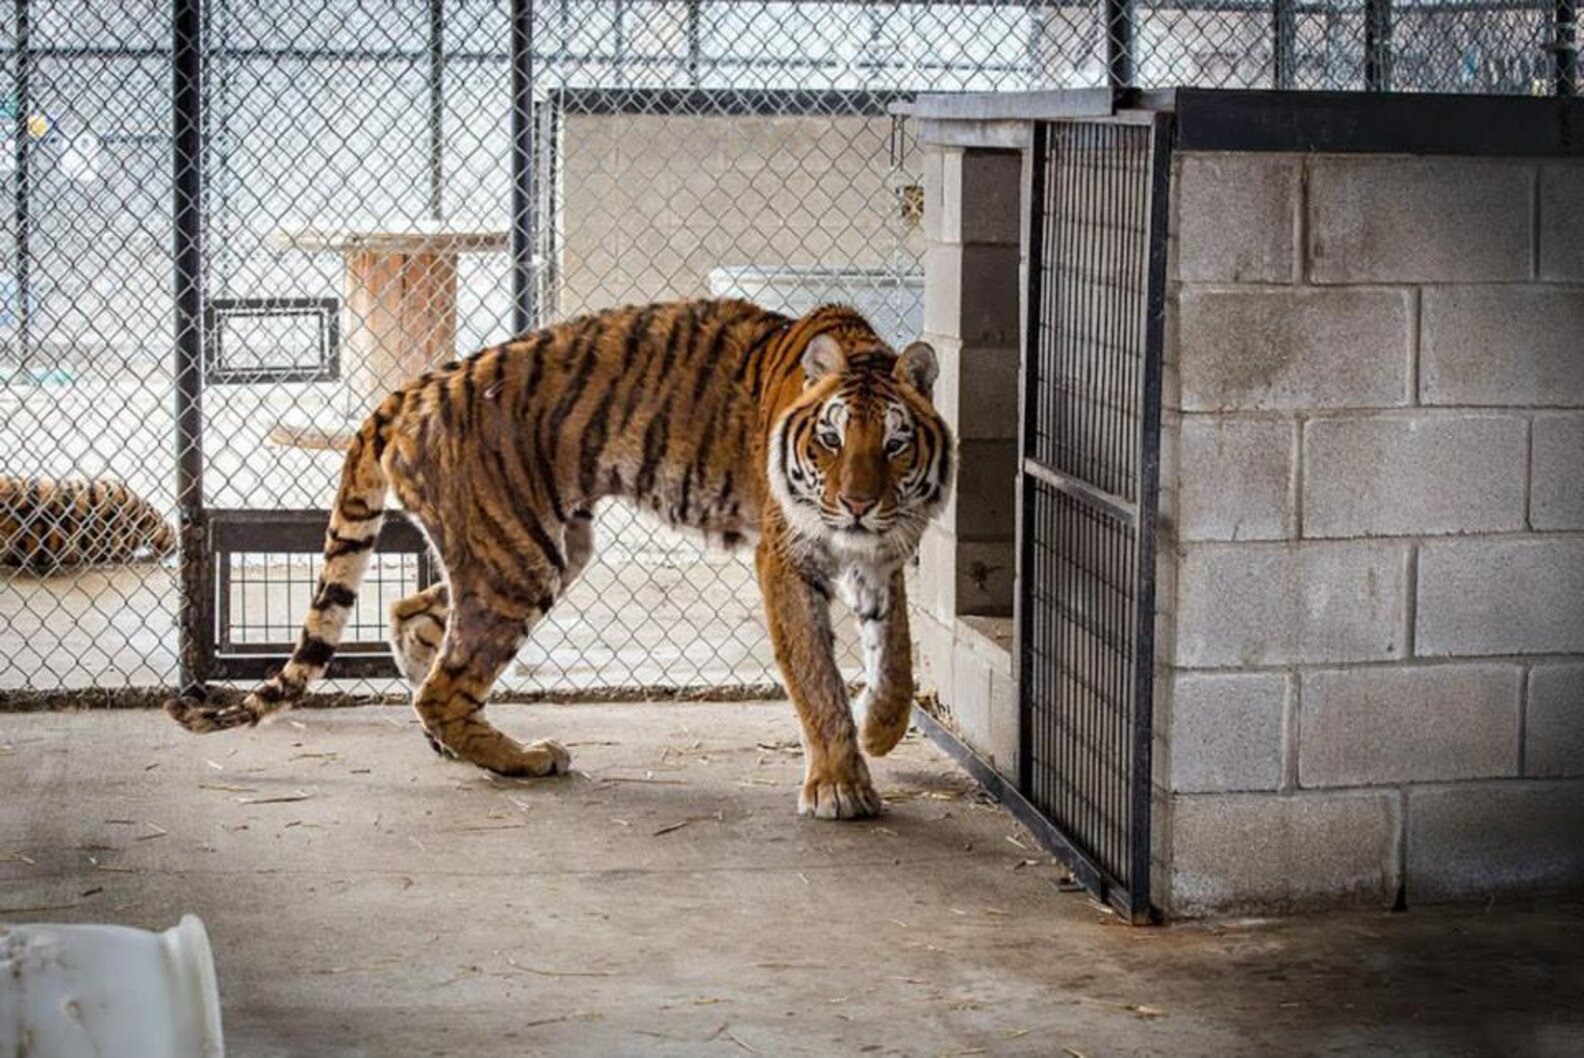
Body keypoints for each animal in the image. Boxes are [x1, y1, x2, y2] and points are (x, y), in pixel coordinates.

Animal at [166, 298, 954, 820]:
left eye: (894, 442)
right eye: (830, 439)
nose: (856, 502)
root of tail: (410, 387)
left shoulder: (883, 551)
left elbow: (897, 651)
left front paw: (881, 727)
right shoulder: (785, 558)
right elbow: (815, 673)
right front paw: (841, 785)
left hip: (530, 549)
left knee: (412, 614)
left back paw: (458, 744)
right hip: (521, 558)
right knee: (443, 682)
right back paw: (524, 759)